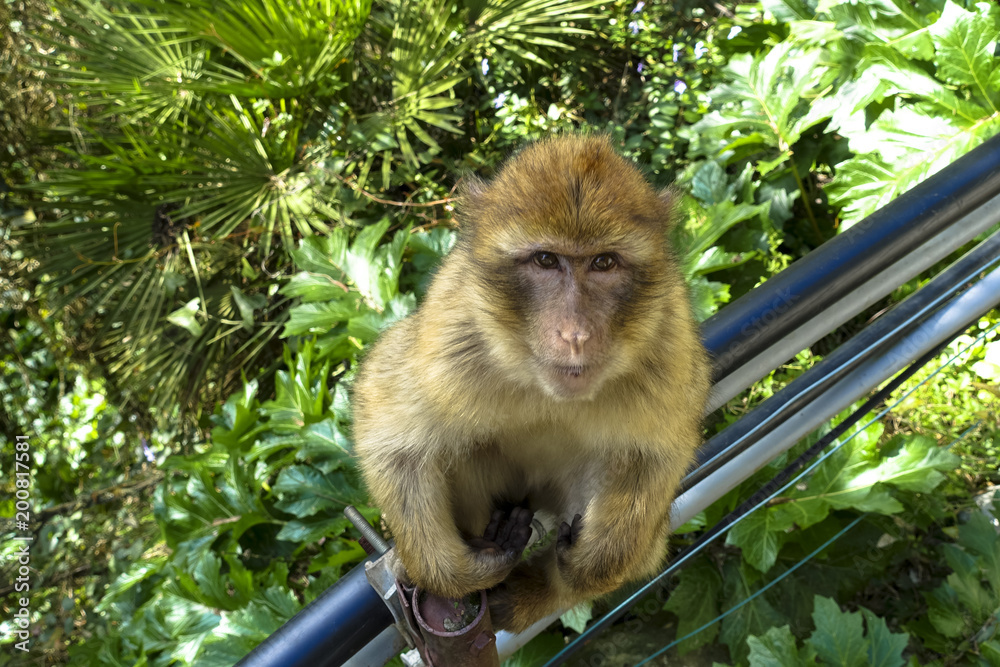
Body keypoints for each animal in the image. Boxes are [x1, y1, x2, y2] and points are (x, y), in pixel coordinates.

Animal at [352, 134, 710, 634]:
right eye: (545, 260)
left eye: (603, 262)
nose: (575, 334)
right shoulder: (450, 339)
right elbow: (388, 427)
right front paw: (451, 571)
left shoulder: (668, 344)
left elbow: (657, 453)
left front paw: (587, 566)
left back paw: (538, 591)